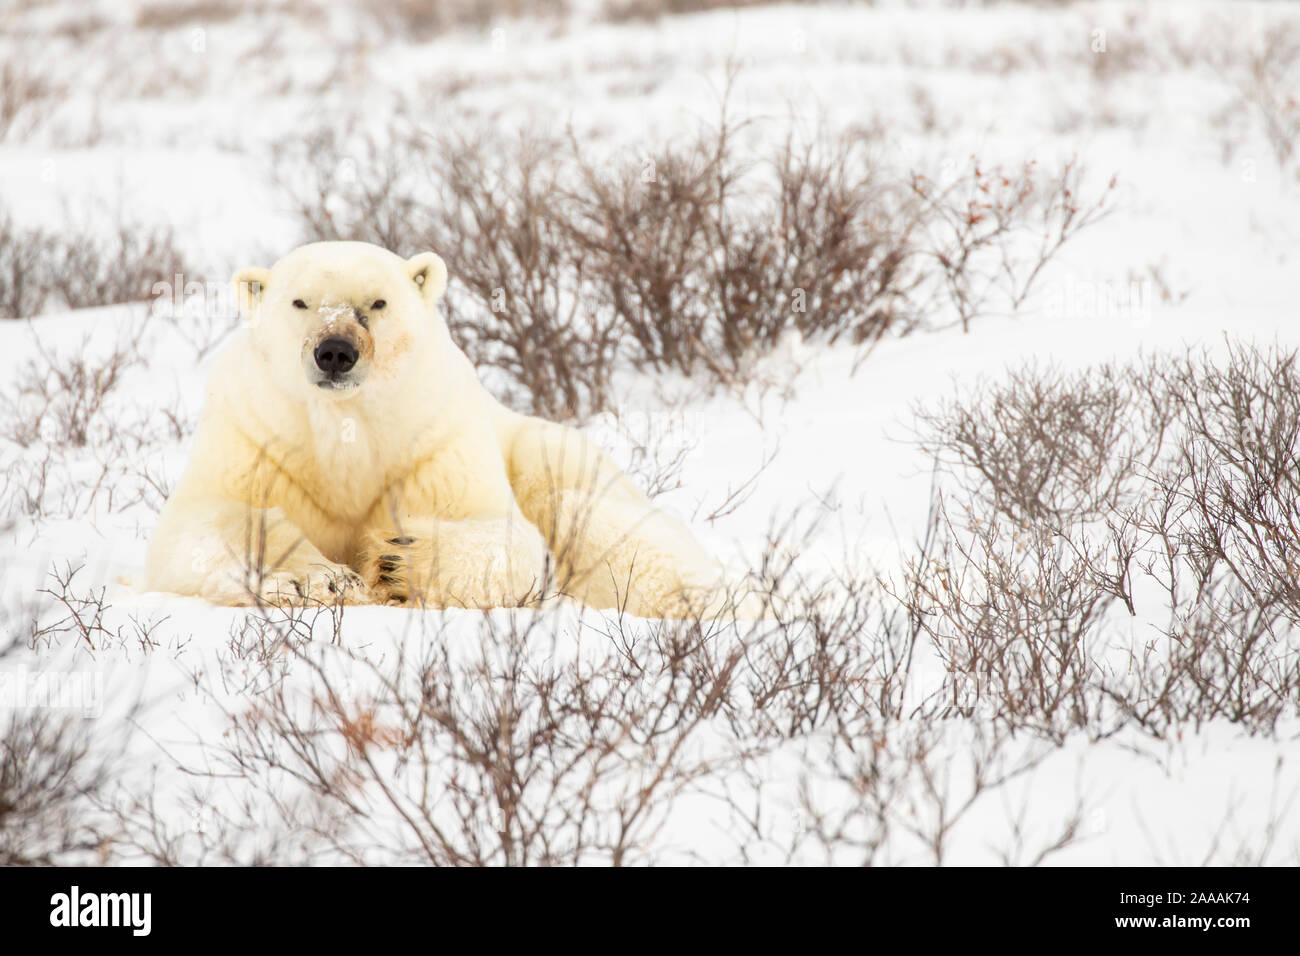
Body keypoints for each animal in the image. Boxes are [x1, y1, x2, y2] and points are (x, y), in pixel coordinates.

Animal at [144, 240, 728, 617]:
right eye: (300, 301)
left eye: (378, 302)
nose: (335, 351)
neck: (345, 429)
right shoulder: (256, 433)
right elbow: (207, 520)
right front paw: (318, 577)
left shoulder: (434, 440)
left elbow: (504, 535)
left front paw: (394, 562)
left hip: (556, 454)